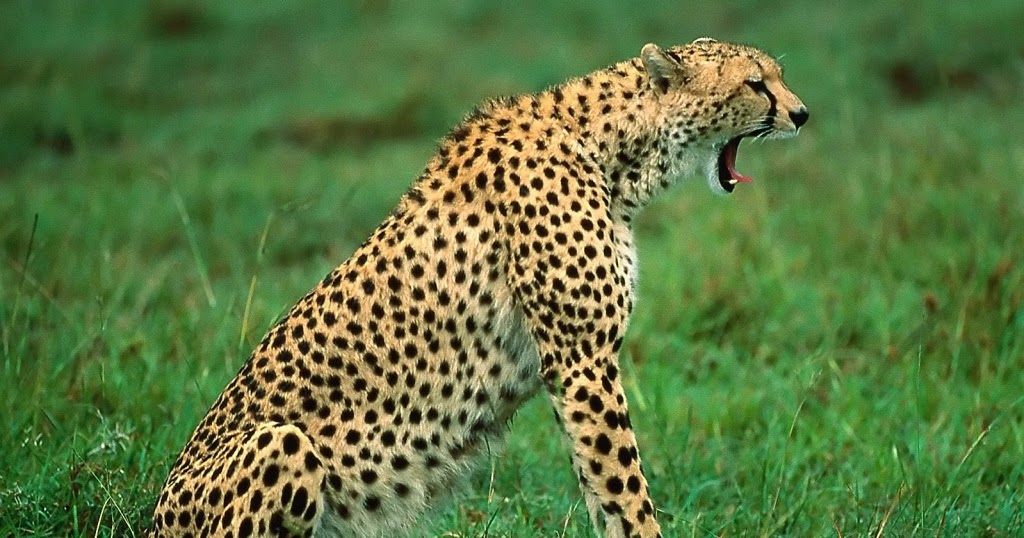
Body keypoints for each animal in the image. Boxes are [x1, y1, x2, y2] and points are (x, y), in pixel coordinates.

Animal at [149, 37, 808, 538]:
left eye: (776, 76)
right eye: (756, 83)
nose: (801, 114)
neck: (611, 149)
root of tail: (154, 515)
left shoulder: (575, 367)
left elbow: (600, 489)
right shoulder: (583, 360)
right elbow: (623, 487)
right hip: (280, 440)